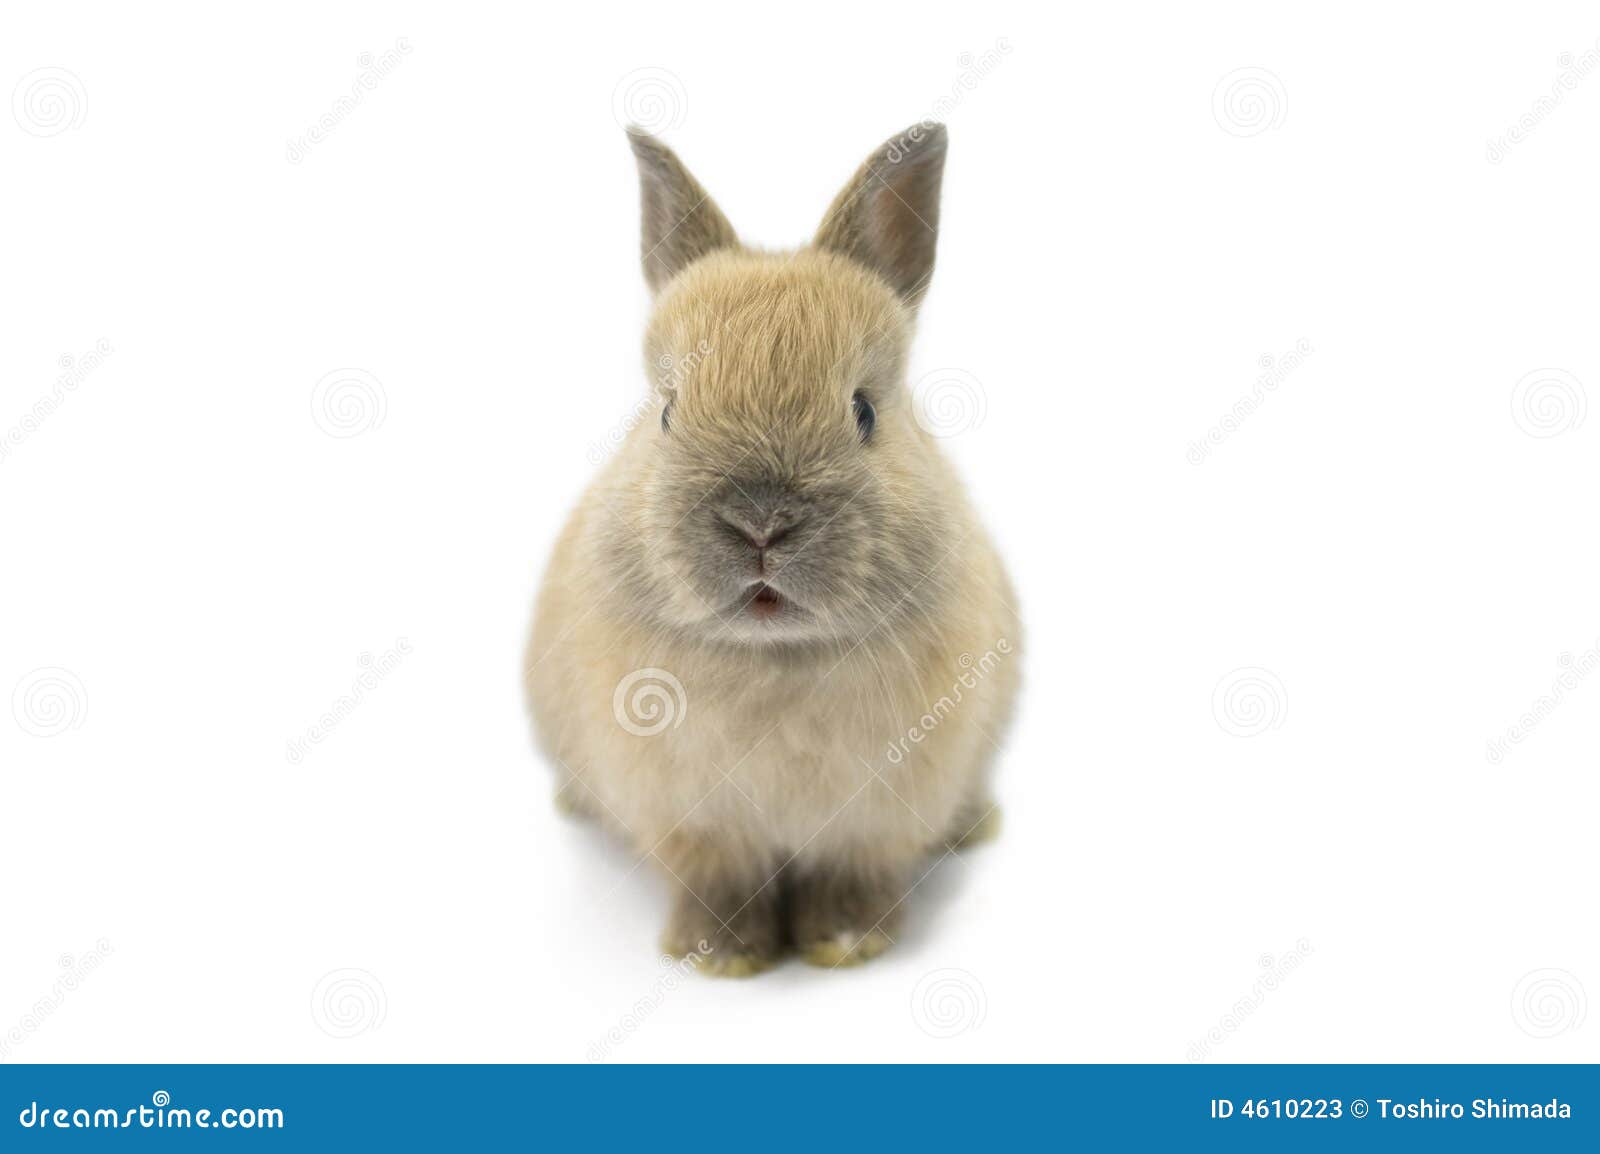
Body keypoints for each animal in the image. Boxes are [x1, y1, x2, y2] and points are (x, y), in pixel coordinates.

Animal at [524, 122, 1020, 976]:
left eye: (864, 411)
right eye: (667, 412)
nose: (760, 524)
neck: (777, 656)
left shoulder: (877, 822)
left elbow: (853, 877)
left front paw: (847, 944)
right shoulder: (696, 825)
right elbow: (719, 882)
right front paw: (723, 957)